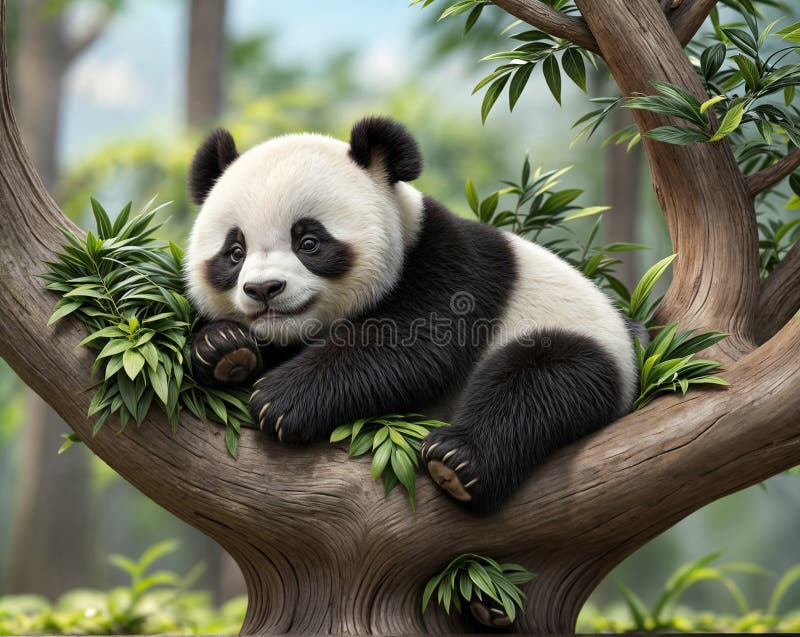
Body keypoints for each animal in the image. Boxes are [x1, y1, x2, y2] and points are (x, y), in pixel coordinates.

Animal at [185, 116, 637, 515]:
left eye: (309, 242)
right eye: (235, 251)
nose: (263, 290)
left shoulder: (449, 263)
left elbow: (411, 345)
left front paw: (280, 400)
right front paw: (224, 347)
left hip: (571, 337)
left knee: (534, 385)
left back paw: (456, 460)